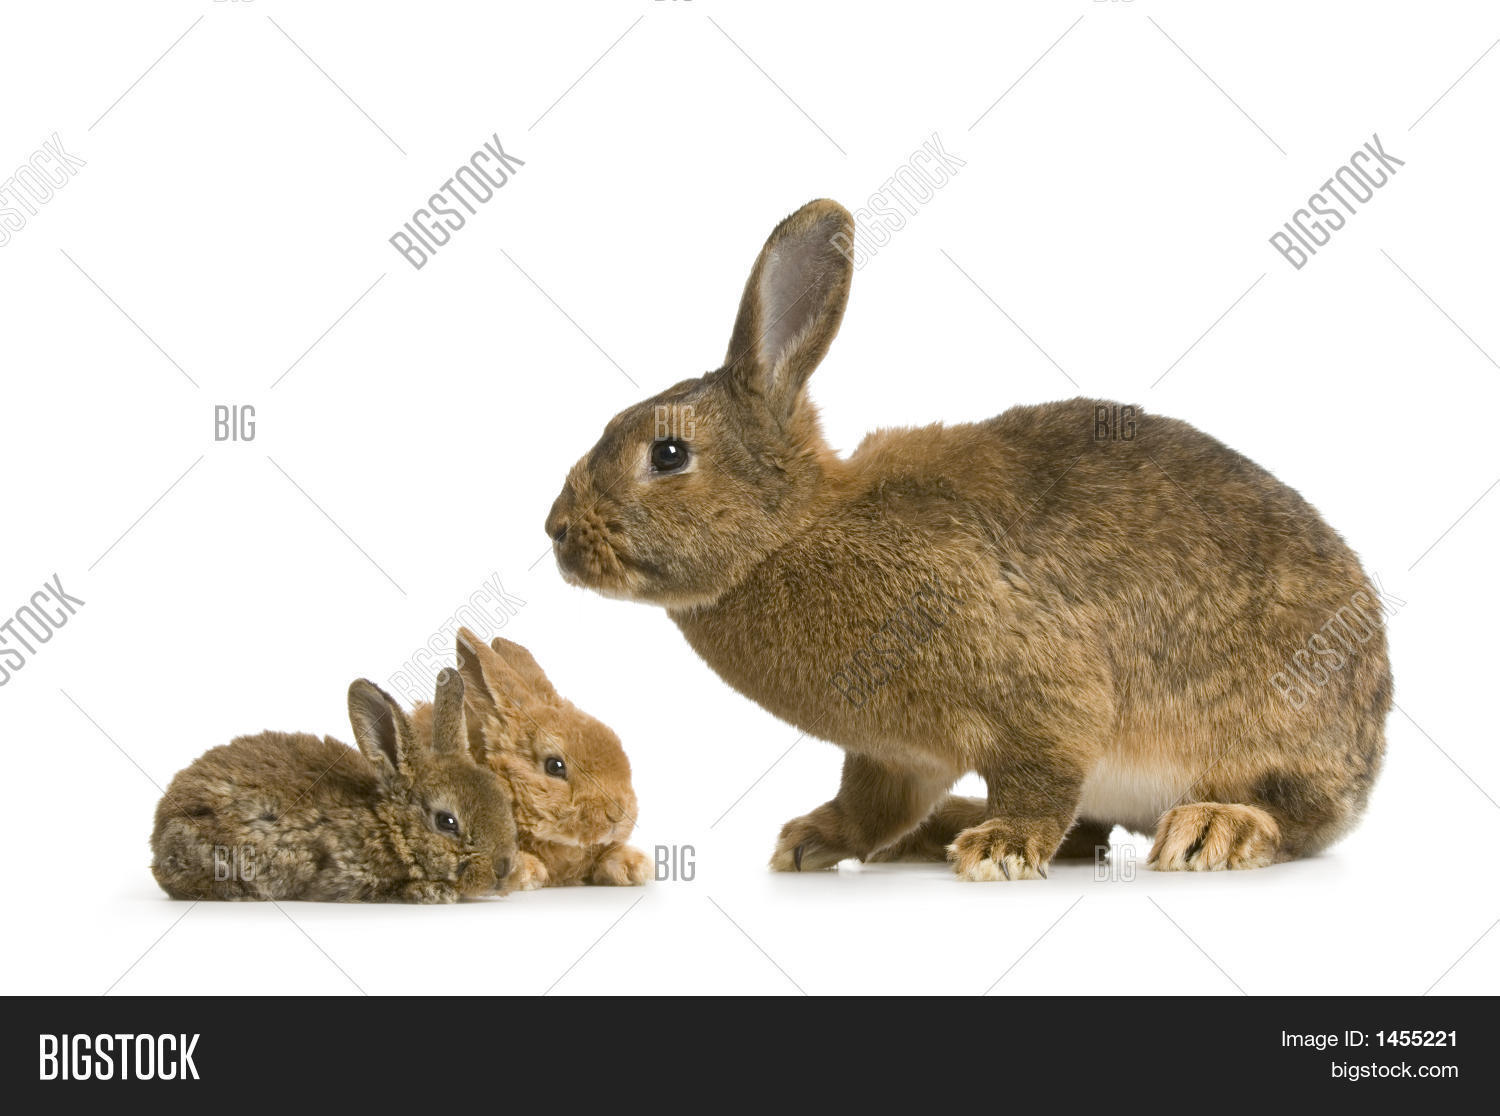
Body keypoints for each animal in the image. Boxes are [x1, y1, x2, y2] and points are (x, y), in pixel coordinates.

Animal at [543, 198, 1391, 880]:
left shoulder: (1041, 694)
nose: (556, 532)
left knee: (1294, 819)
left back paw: (1211, 830)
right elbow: (872, 801)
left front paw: (1003, 849)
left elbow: (1041, 773)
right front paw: (811, 841)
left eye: (668, 454)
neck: (791, 531)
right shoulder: (892, 752)